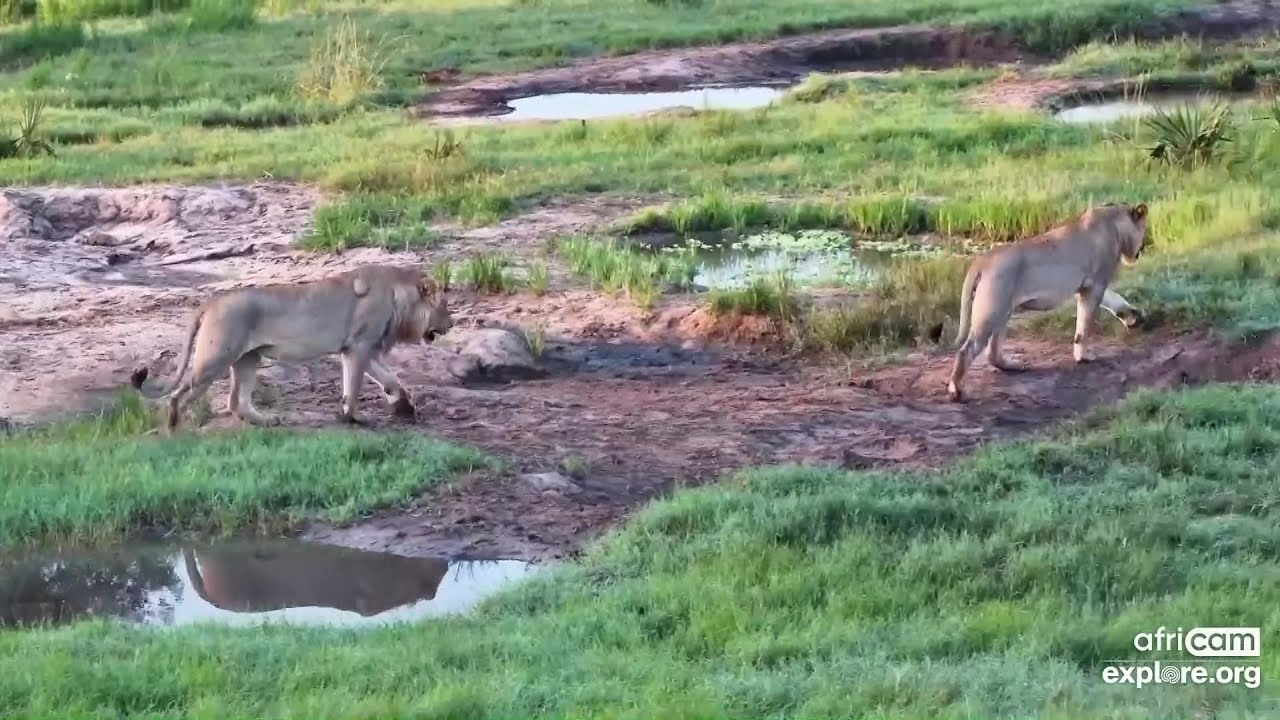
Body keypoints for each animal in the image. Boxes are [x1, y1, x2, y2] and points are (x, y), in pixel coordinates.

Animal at [131, 264, 453, 430]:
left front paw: (404, 408)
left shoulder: (362, 347)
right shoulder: (358, 346)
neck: (398, 294)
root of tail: (212, 301)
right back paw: (175, 427)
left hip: (248, 358)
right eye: (445, 306)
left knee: (236, 401)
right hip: (215, 358)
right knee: (179, 394)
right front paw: (351, 417)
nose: (452, 324)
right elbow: (354, 385)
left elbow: (390, 379)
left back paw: (266, 421)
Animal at [946, 202, 1149, 402]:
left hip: (1002, 311)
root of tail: (982, 260)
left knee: (992, 352)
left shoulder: (1086, 286)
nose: (1142, 249)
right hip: (991, 312)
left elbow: (1114, 299)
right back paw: (957, 390)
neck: (1114, 222)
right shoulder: (1095, 284)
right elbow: (1084, 325)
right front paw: (1083, 356)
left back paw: (1012, 365)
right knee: (966, 351)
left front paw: (1134, 317)